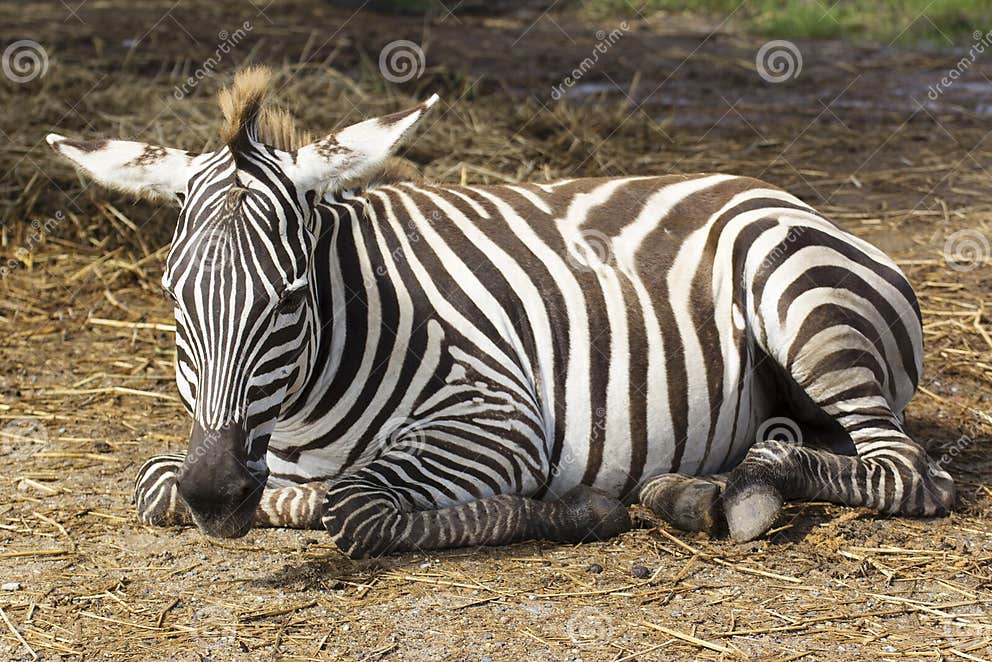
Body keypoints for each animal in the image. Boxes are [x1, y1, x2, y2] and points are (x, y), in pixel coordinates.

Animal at [47, 67, 954, 558]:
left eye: (293, 297)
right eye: (173, 299)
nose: (218, 493)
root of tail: (779, 193)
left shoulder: (500, 419)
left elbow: (356, 507)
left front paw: (576, 511)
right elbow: (155, 485)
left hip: (802, 301)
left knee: (910, 473)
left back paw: (744, 490)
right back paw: (699, 487)